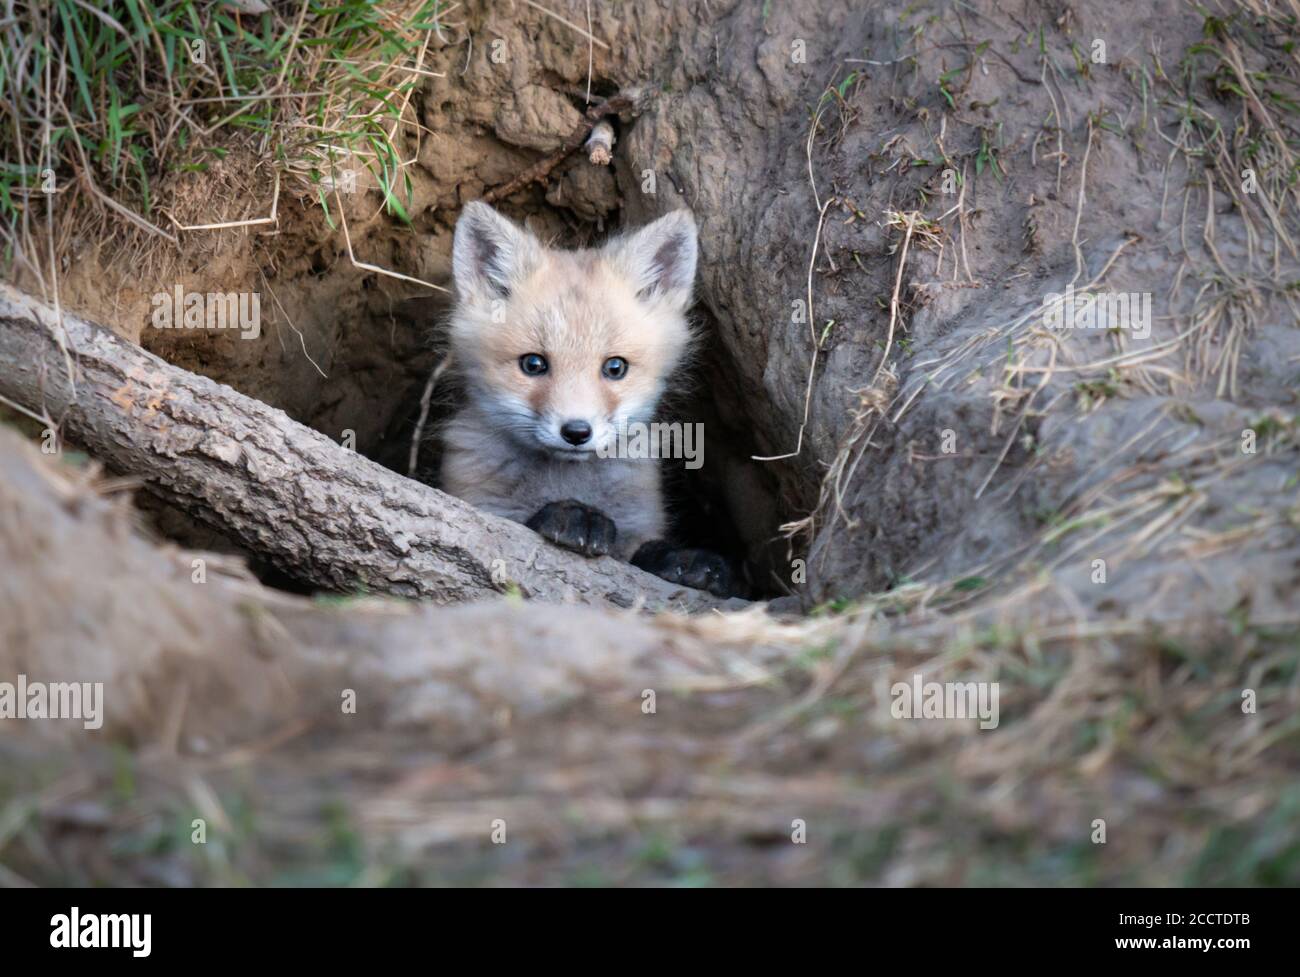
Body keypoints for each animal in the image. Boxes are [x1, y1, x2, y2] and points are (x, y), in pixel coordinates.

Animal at [439, 201, 733, 596]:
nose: (576, 432)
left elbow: (647, 550)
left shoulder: (638, 519)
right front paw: (576, 517)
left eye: (615, 367)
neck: (567, 480)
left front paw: (683, 561)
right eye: (533, 364)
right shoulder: (479, 504)